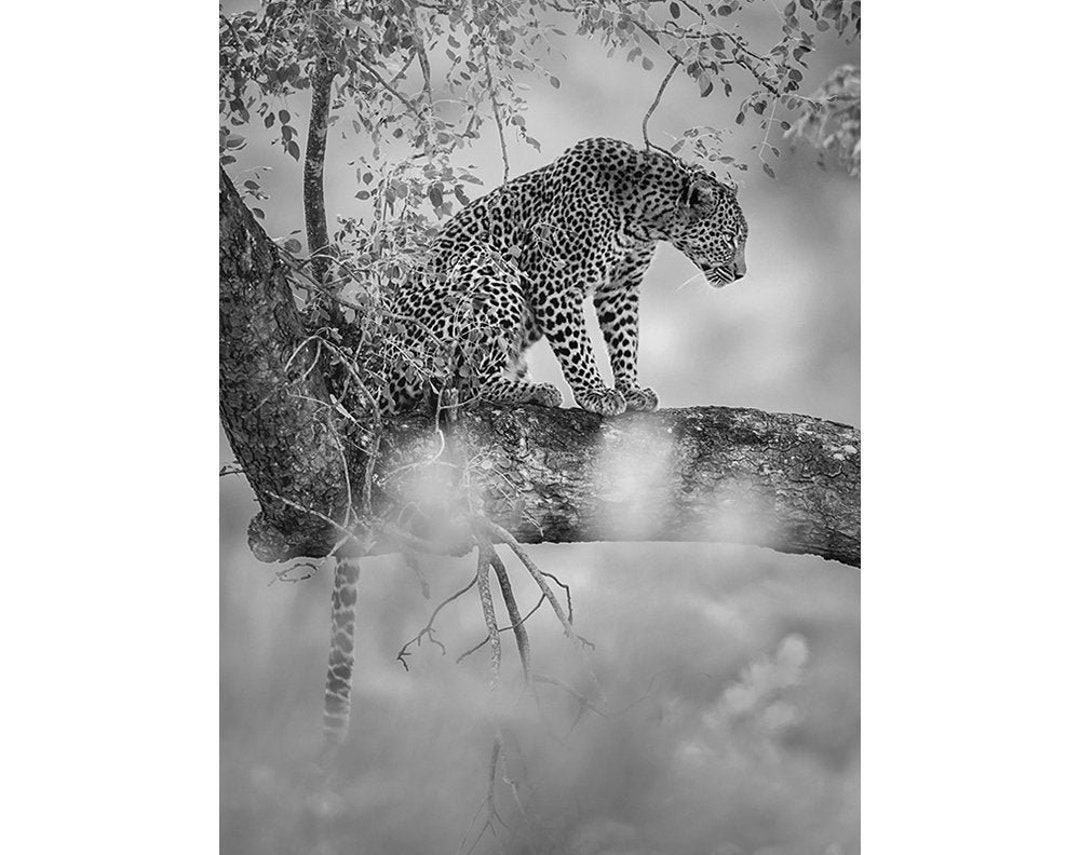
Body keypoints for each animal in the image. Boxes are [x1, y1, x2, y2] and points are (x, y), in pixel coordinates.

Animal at [376, 136, 748, 418]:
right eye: (731, 239)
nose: (741, 274)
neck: (645, 218)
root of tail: (383, 364)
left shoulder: (622, 287)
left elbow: (626, 339)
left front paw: (630, 389)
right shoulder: (554, 278)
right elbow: (576, 345)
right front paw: (596, 393)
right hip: (490, 275)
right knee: (465, 386)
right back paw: (537, 390)